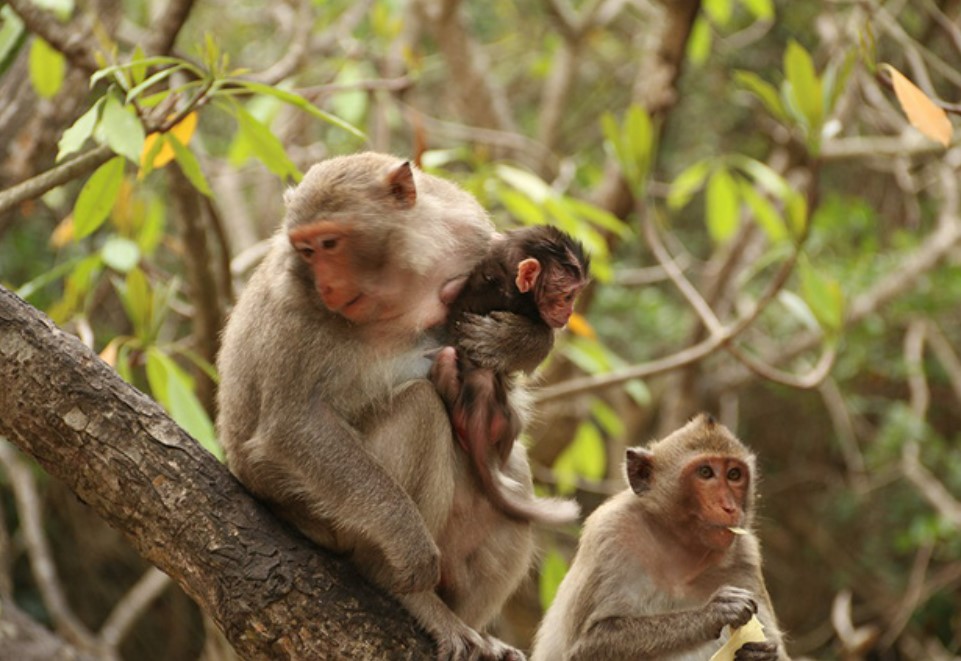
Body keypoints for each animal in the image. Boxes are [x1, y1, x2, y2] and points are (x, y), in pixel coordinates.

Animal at [217, 153, 536, 660]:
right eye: (307, 251)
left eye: (330, 243)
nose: (327, 285)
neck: (403, 276)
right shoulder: (294, 295)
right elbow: (293, 424)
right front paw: (409, 547)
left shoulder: (472, 235)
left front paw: (510, 342)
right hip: (326, 518)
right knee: (420, 410)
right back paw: (405, 590)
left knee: (514, 485)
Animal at [430, 225, 589, 525]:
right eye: (567, 296)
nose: (570, 312)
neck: (505, 275)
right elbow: (544, 336)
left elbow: (447, 293)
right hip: (506, 422)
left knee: (446, 358)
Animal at [530, 414, 788, 661]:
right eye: (705, 472)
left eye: (734, 474)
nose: (729, 507)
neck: (678, 550)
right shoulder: (611, 532)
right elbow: (583, 647)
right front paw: (712, 613)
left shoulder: (745, 556)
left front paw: (763, 654)